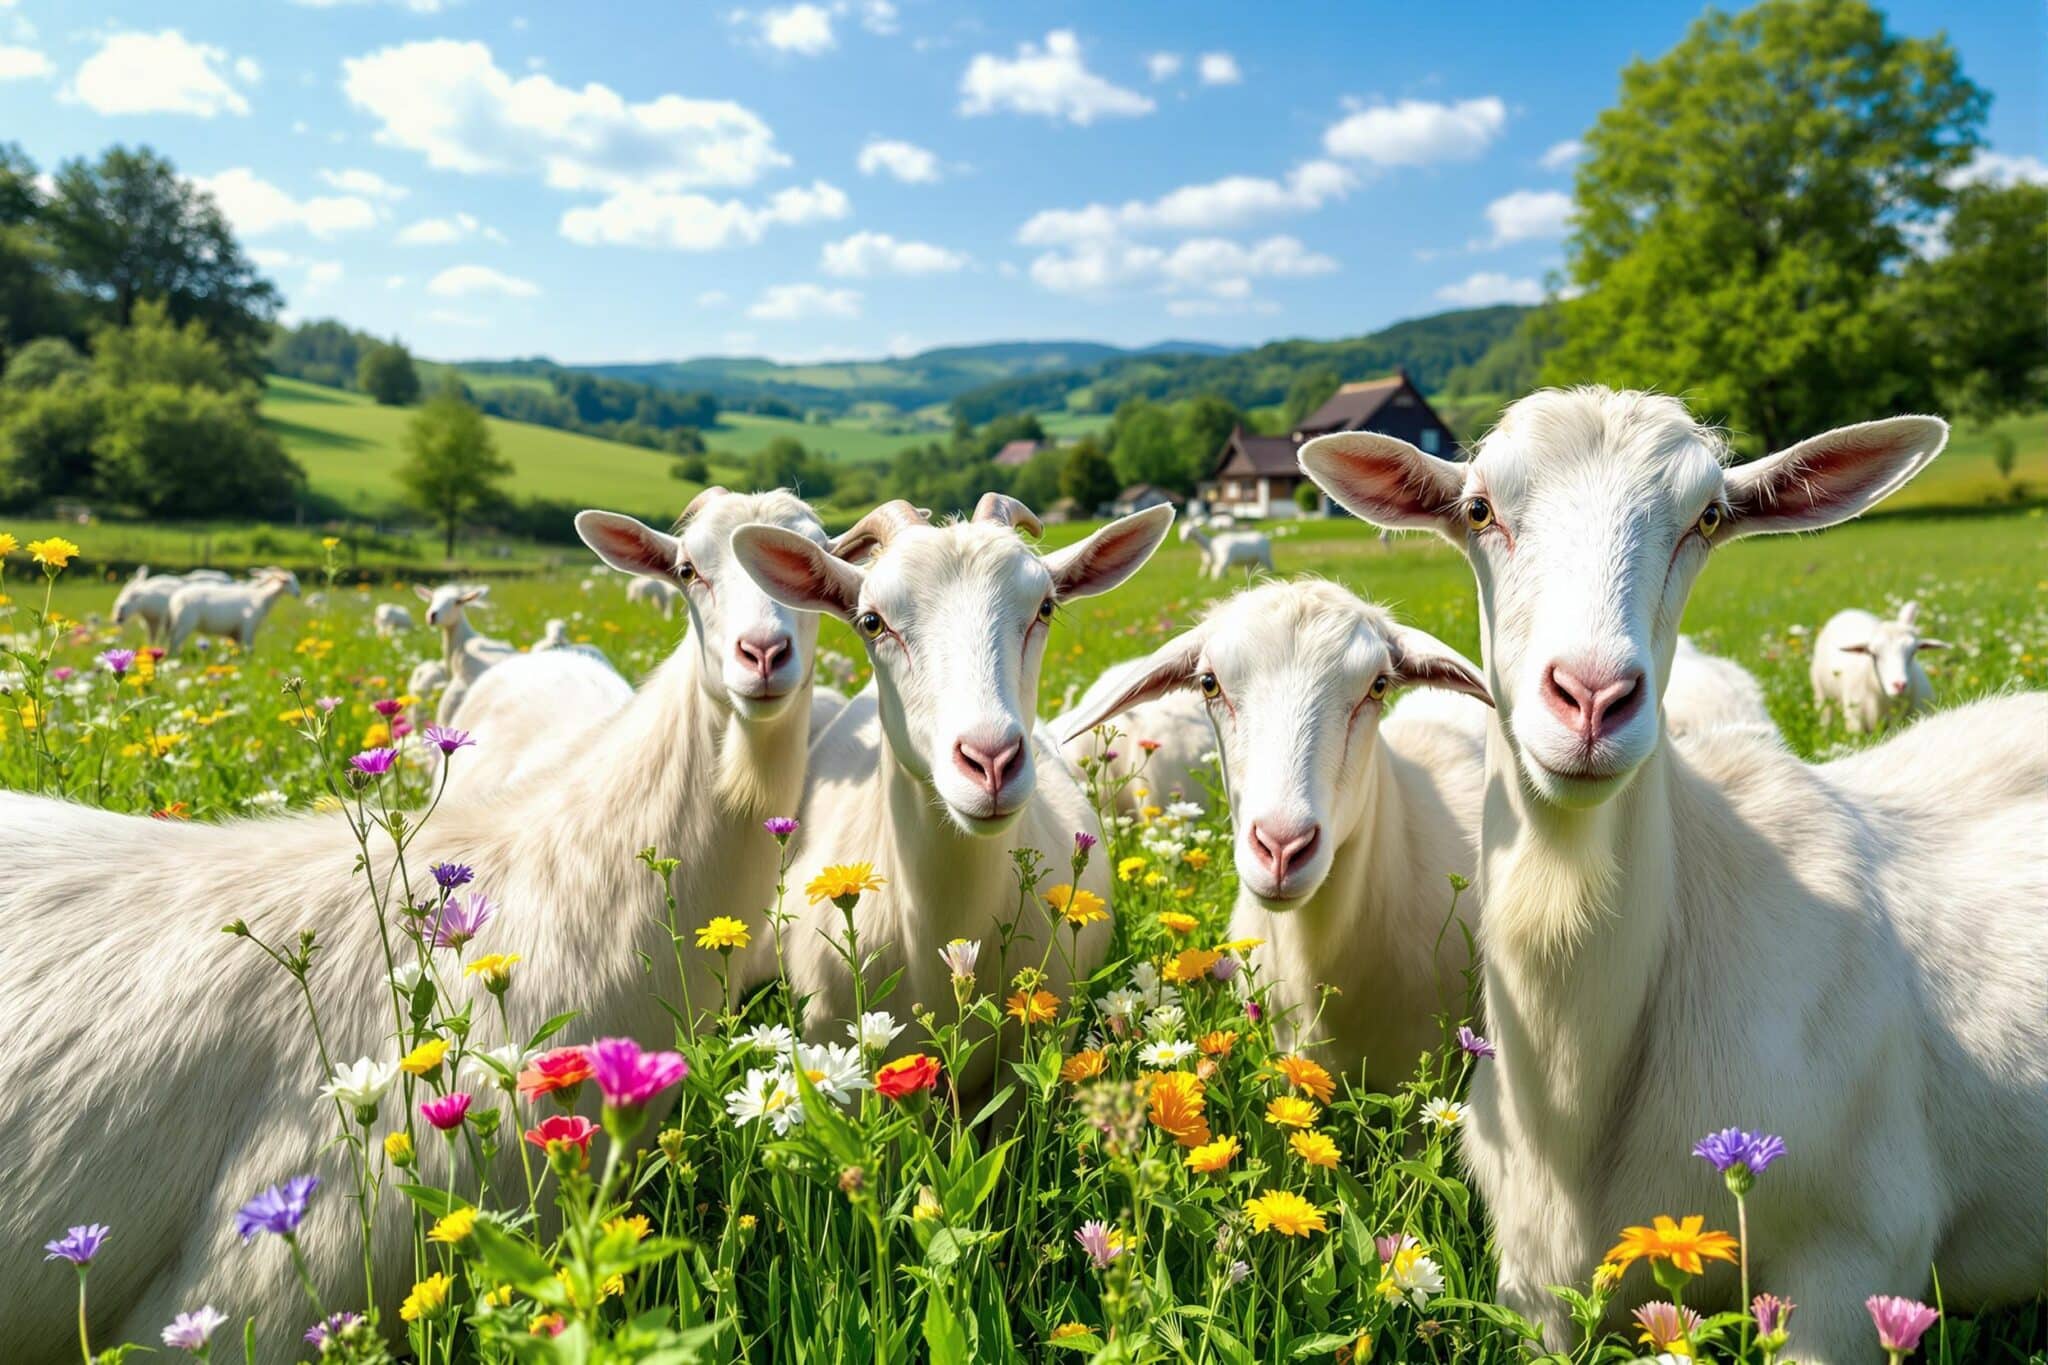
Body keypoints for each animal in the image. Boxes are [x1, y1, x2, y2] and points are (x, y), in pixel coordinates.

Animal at [165, 569, 300, 653]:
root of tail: (175, 599)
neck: (261, 597)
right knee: (175, 642)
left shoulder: (237, 634)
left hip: (179, 624)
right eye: (287, 581)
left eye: (296, 580)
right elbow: (249, 650)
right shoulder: (247, 628)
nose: (298, 593)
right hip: (186, 624)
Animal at [1811, 602, 1946, 733]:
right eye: (1873, 654)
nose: (1899, 685)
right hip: (1821, 694)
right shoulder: (1855, 724)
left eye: (1913, 652)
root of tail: (1848, 611)